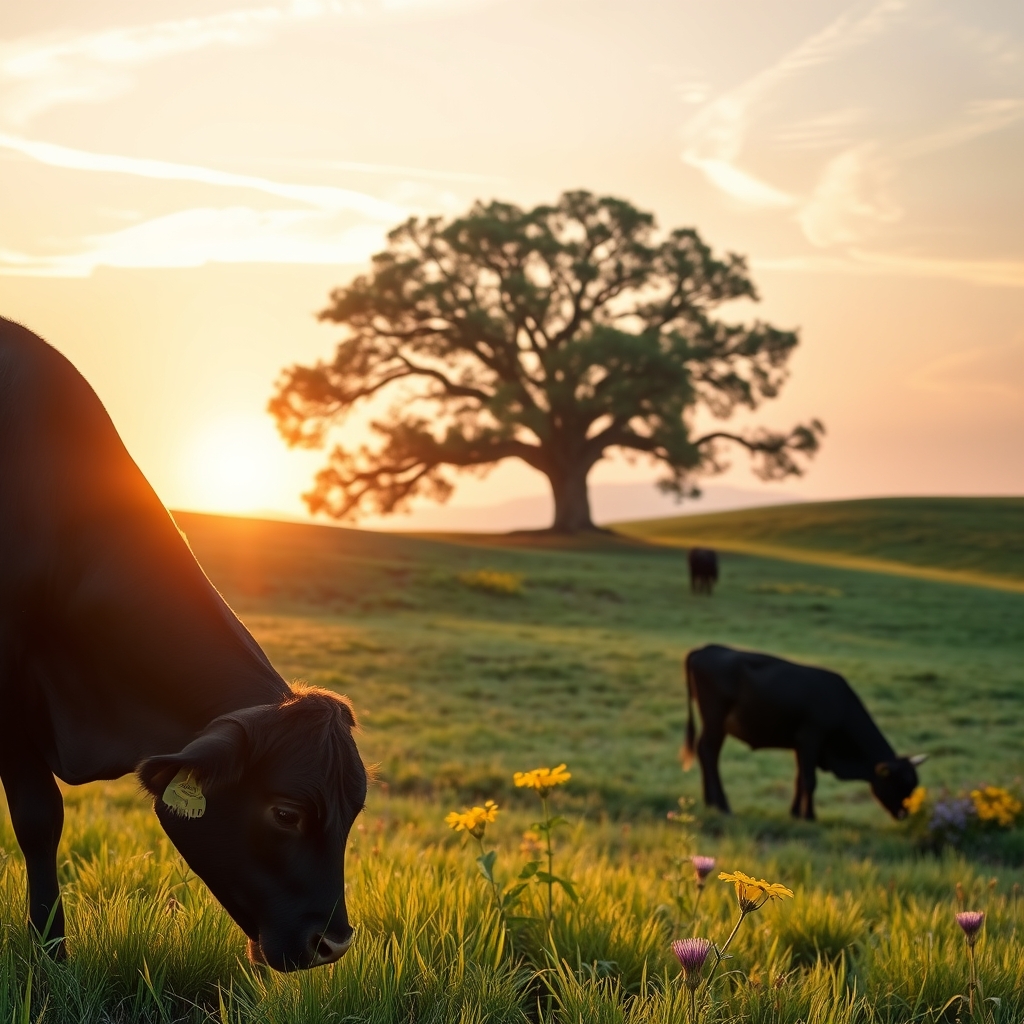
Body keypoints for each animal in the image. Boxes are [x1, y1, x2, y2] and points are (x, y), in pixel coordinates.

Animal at [682, 644, 925, 821]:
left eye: (913, 785)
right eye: (898, 783)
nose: (904, 815)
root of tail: (705, 648)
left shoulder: (803, 745)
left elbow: (799, 779)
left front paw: (796, 813)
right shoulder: (811, 738)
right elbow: (809, 780)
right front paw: (809, 816)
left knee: (706, 753)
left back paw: (711, 802)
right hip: (715, 720)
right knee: (708, 753)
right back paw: (722, 805)